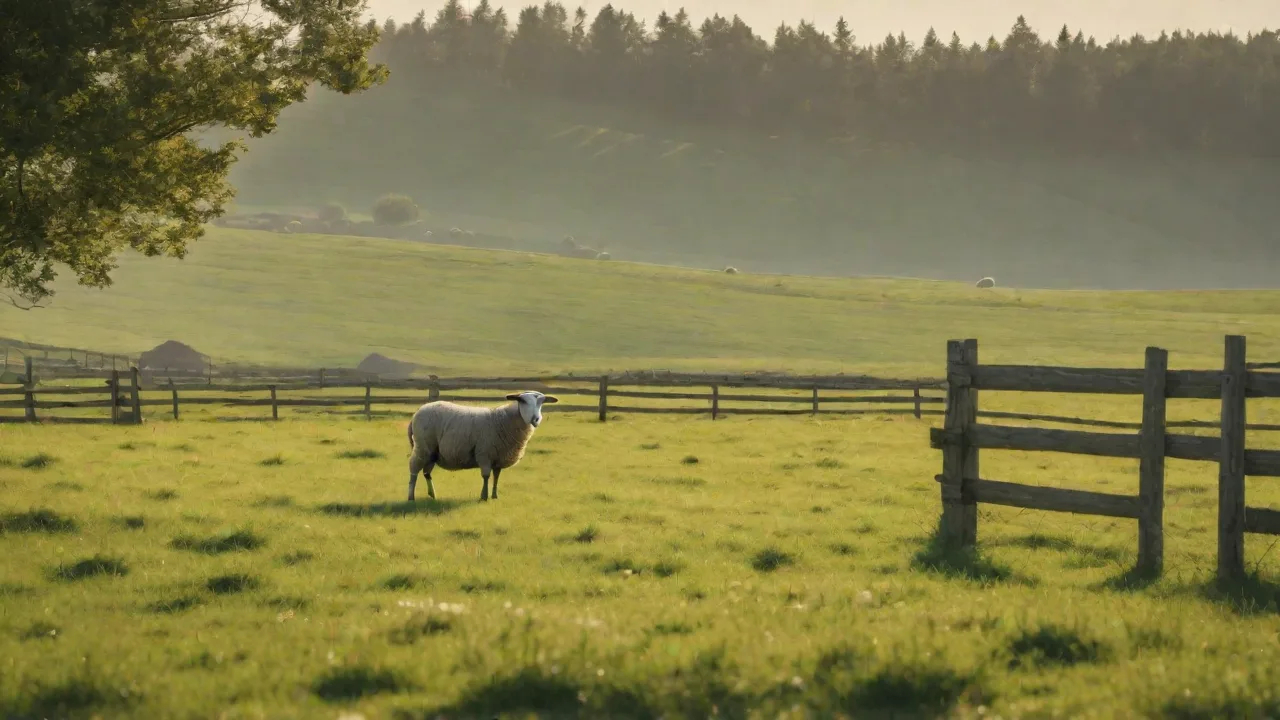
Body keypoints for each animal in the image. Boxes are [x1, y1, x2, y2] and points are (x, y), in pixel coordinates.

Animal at [407, 391, 559, 503]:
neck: (504, 420)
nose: (536, 419)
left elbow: (496, 476)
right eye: (523, 401)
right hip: (422, 447)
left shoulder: (498, 457)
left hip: (432, 451)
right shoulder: (484, 453)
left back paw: (432, 495)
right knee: (414, 470)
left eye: (541, 402)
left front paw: (495, 496)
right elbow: (486, 476)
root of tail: (416, 414)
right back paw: (411, 497)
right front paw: (484, 496)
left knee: (426, 473)